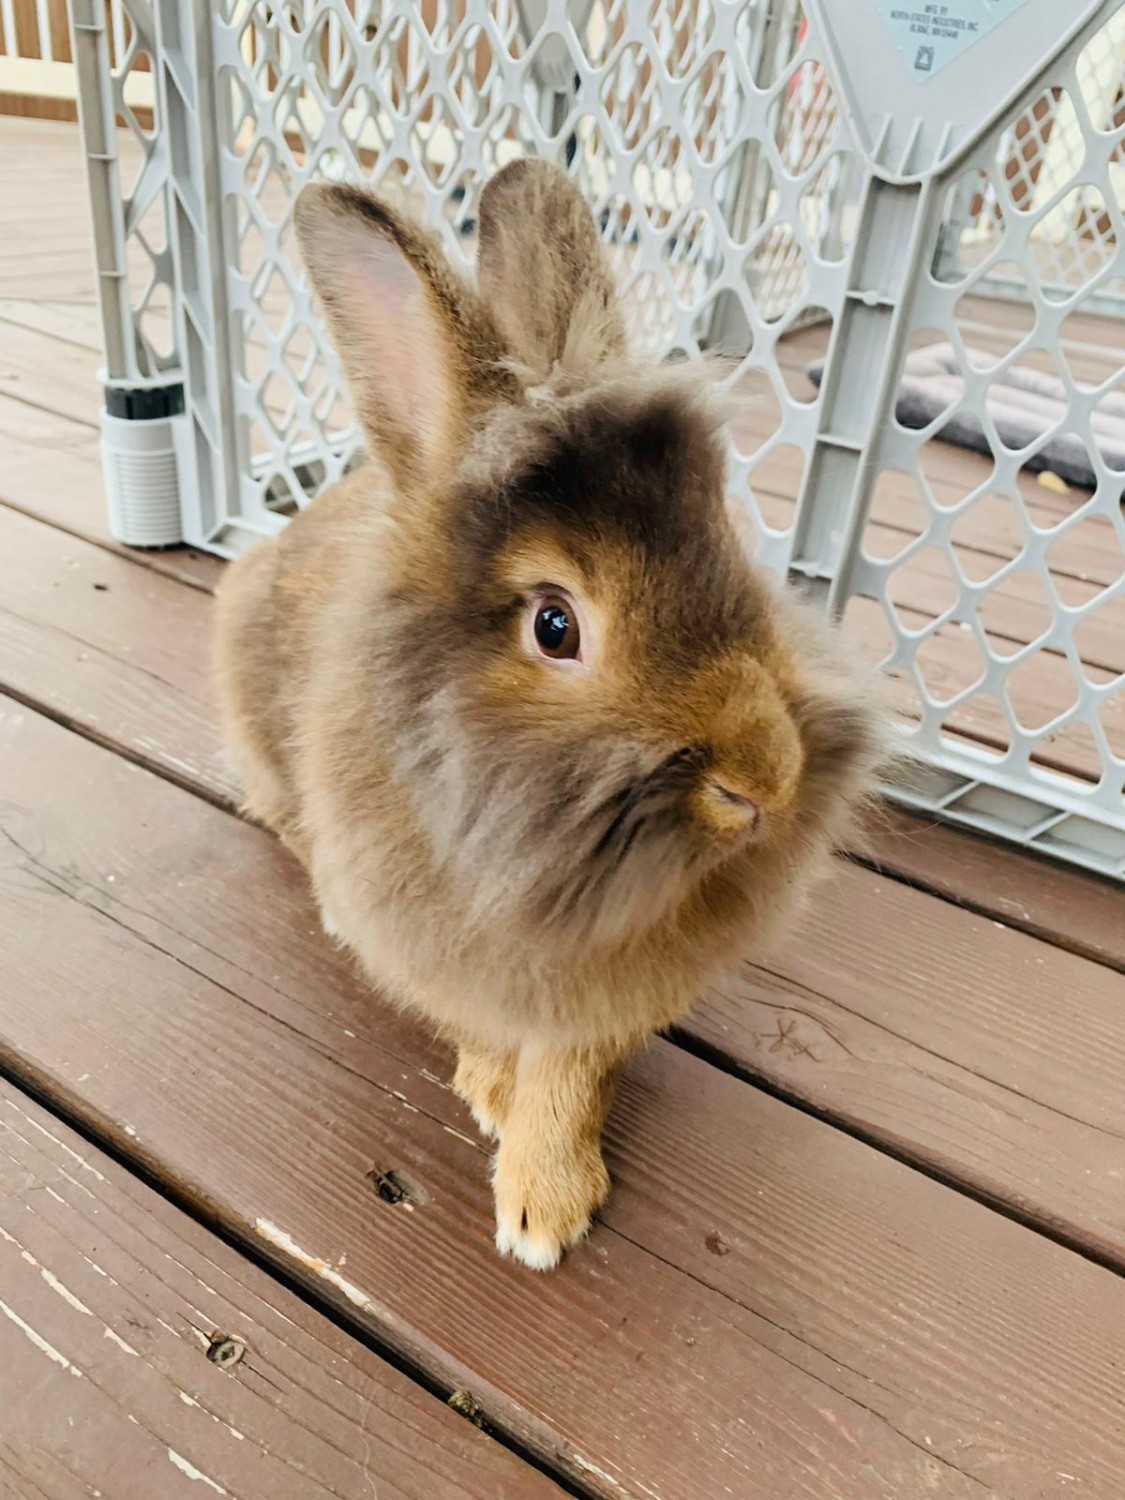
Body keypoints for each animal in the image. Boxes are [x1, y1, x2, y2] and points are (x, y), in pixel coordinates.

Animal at [213, 159, 890, 1271]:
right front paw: (498, 1107)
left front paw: (547, 1199)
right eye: (555, 625)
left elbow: (571, 1078)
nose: (766, 780)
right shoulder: (444, 951)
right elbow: (490, 1036)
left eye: (730, 550)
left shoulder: (610, 994)